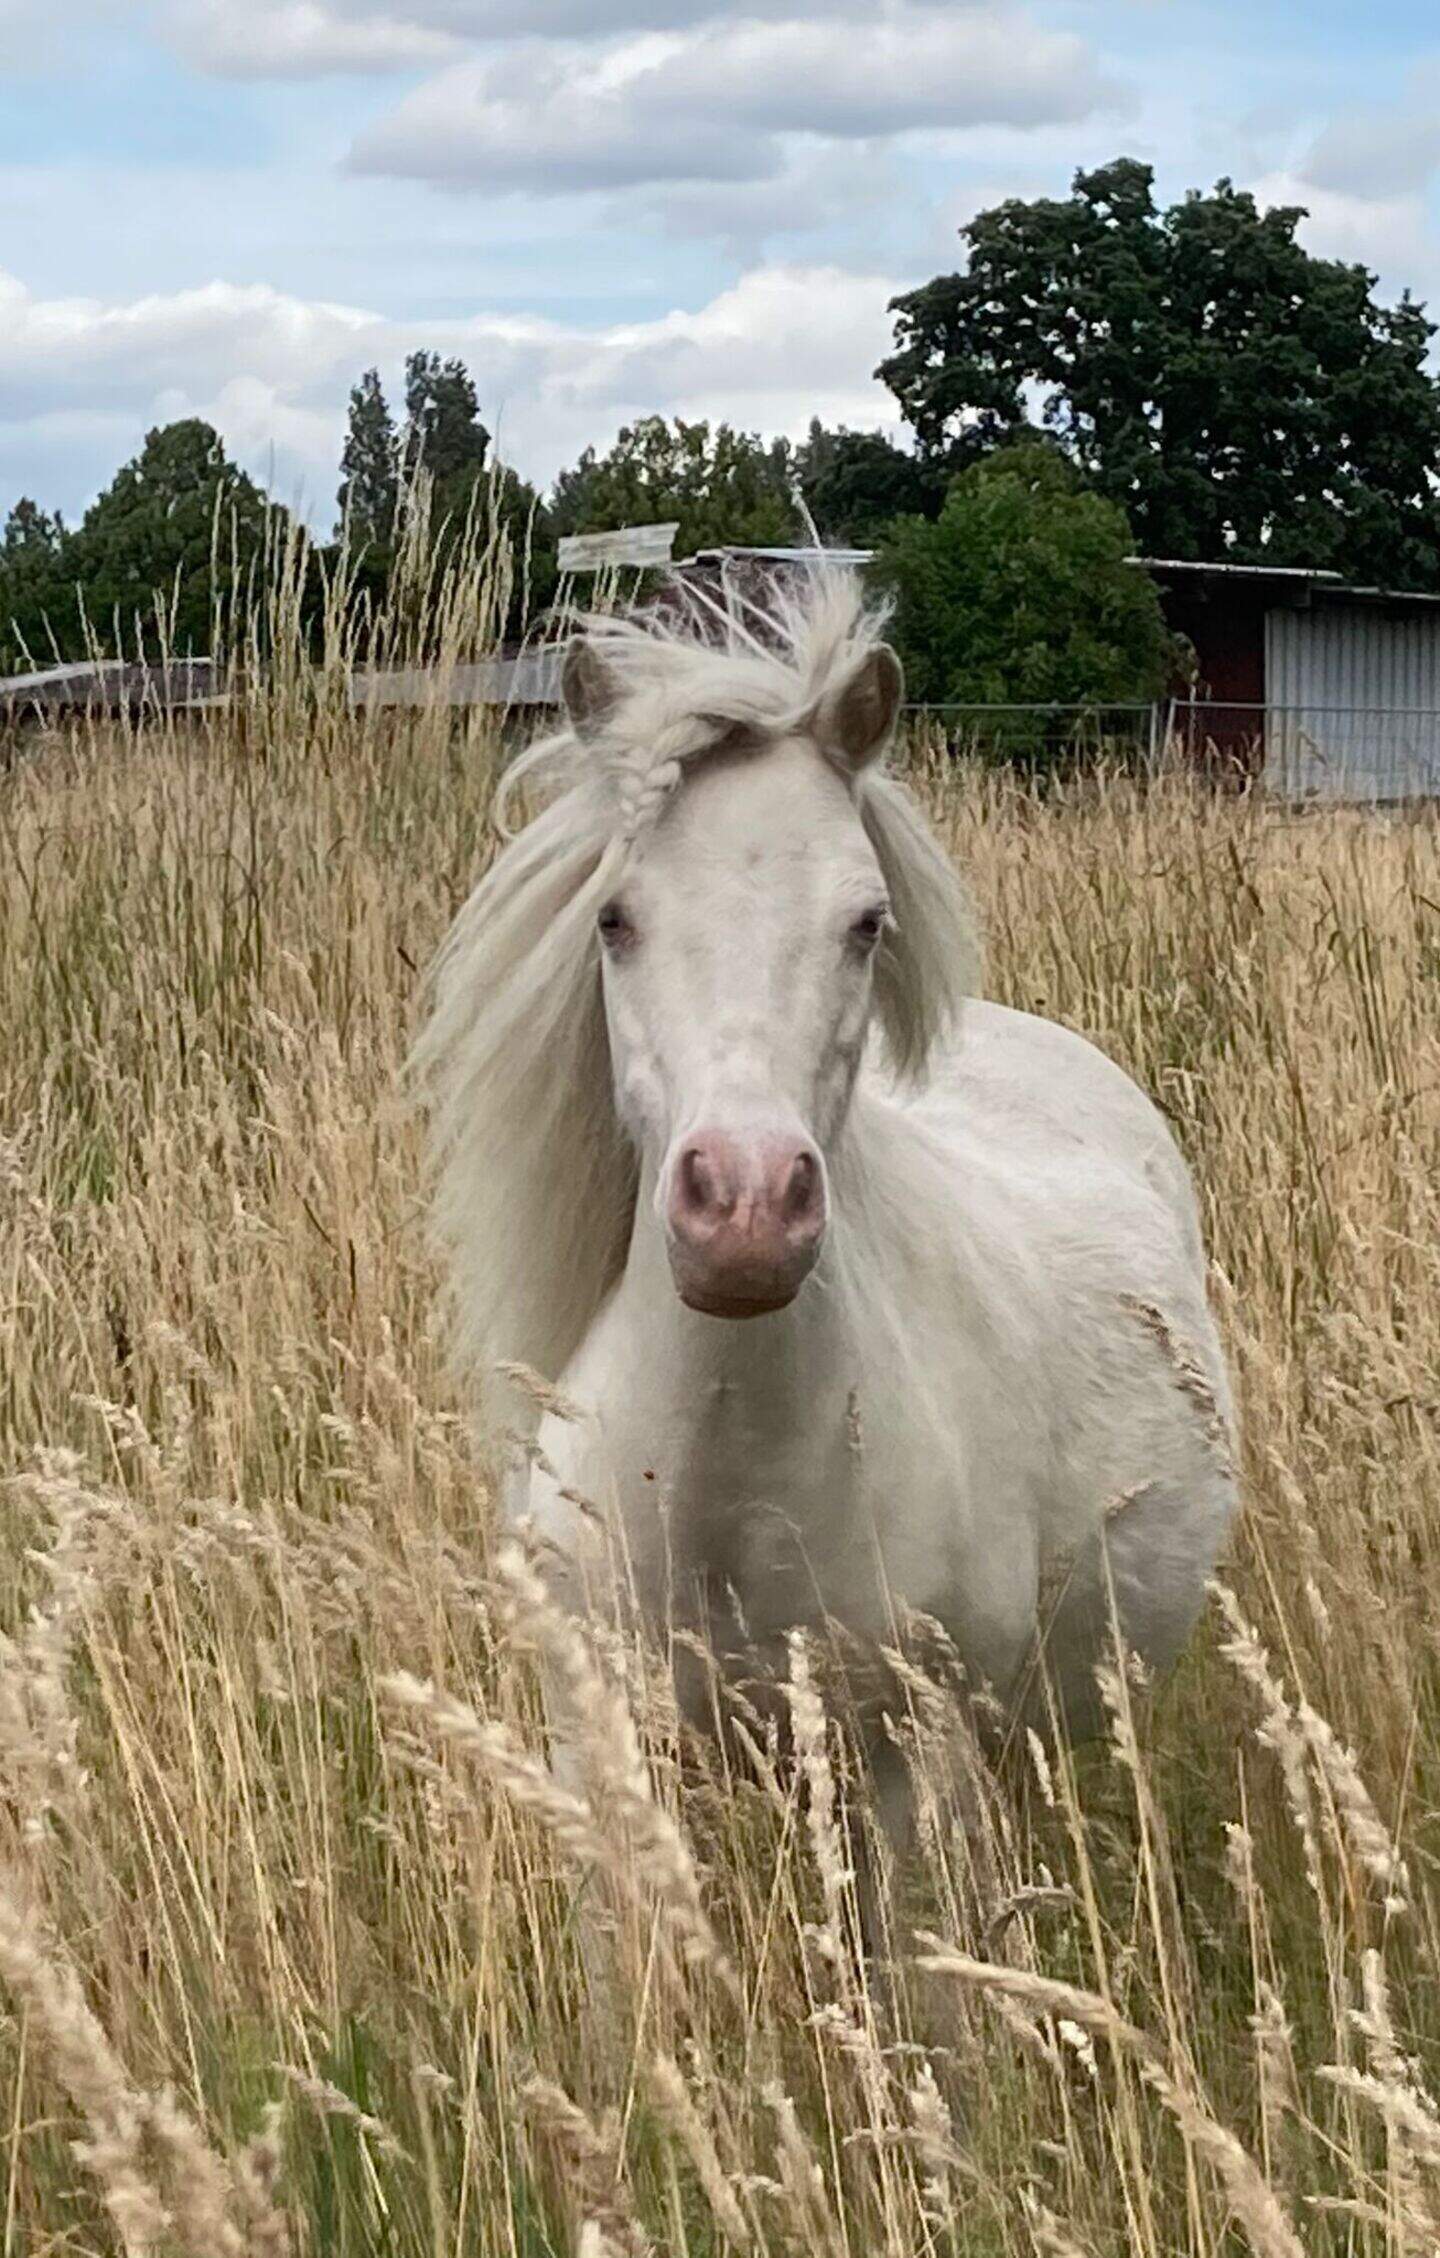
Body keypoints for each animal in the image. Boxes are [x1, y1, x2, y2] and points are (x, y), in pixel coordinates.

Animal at [416, 570, 1237, 1821]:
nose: (745, 1210)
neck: (723, 1475)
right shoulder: (603, 1753)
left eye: (864, 920)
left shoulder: (914, 1768)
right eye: (613, 917)